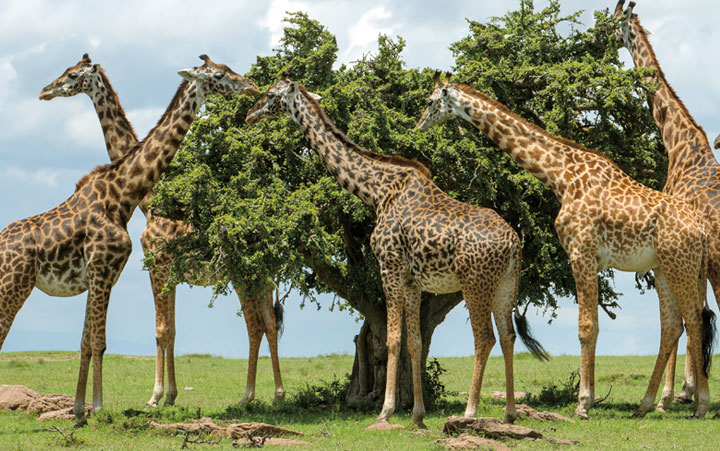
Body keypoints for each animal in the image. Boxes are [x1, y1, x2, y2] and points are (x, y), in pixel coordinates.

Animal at [0, 54, 257, 427]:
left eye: (72, 75)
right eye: (220, 75)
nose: (45, 91)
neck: (125, 193)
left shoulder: (108, 274)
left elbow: (92, 341)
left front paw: (84, 409)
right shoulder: (107, 270)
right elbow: (104, 340)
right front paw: (101, 407)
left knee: (260, 323)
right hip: (14, 286)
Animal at [245, 75, 549, 428]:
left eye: (271, 95)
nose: (250, 114)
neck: (376, 190)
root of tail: (513, 243)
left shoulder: (388, 267)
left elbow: (392, 339)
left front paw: (386, 410)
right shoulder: (413, 281)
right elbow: (414, 343)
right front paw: (417, 413)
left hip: (474, 283)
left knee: (485, 337)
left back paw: (470, 411)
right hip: (506, 285)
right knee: (508, 335)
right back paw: (510, 412)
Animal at [415, 71, 715, 419]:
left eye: (429, 102)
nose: (418, 126)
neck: (560, 176)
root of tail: (702, 230)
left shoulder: (580, 252)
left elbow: (586, 326)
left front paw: (582, 404)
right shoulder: (590, 258)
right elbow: (593, 326)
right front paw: (589, 399)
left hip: (681, 266)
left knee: (694, 321)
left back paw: (700, 405)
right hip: (665, 268)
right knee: (673, 326)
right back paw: (645, 405)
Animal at [615, 0, 720, 411]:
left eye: (616, 22)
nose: (603, 35)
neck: (678, 144)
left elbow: (687, 316)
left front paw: (669, 395)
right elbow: (696, 314)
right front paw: (688, 390)